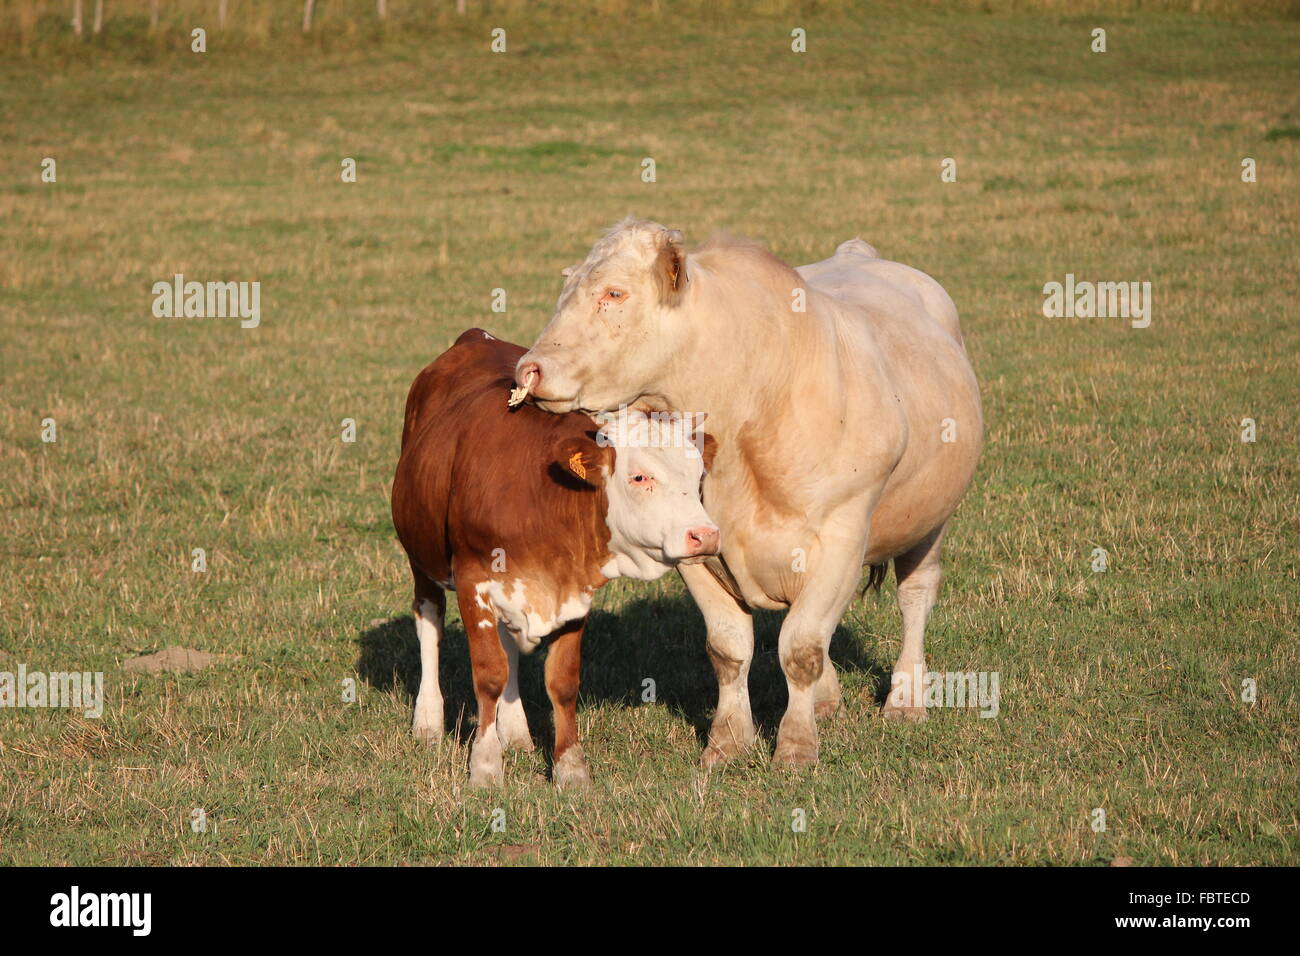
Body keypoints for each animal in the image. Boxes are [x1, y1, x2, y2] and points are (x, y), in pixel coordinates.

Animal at [391, 328, 720, 787]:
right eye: (639, 477)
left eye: (698, 475)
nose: (705, 536)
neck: (539, 496)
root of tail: (476, 337)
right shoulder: (474, 580)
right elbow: (488, 675)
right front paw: (485, 767)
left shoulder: (573, 590)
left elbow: (561, 680)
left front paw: (570, 768)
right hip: (421, 558)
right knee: (429, 625)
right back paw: (427, 721)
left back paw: (515, 730)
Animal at [512, 219, 984, 768]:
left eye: (614, 292)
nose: (529, 369)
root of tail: (860, 254)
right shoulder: (694, 544)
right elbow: (730, 648)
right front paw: (728, 742)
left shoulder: (841, 539)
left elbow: (801, 648)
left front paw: (796, 748)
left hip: (932, 521)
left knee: (915, 596)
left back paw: (906, 700)